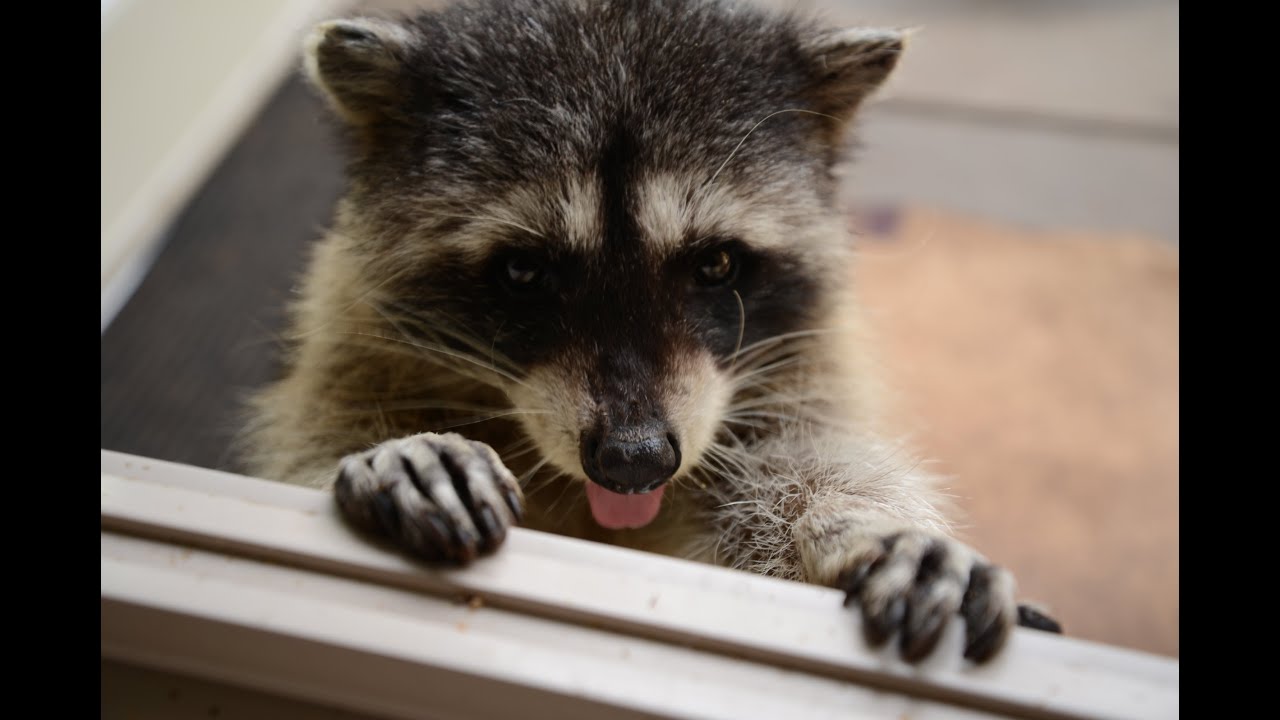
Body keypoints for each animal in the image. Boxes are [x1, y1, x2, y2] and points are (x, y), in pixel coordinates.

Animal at [243, 0, 1059, 664]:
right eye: (523, 271)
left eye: (716, 264)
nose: (633, 462)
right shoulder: (354, 337)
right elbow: (313, 444)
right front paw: (397, 448)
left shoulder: (804, 371)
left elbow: (801, 461)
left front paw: (857, 522)